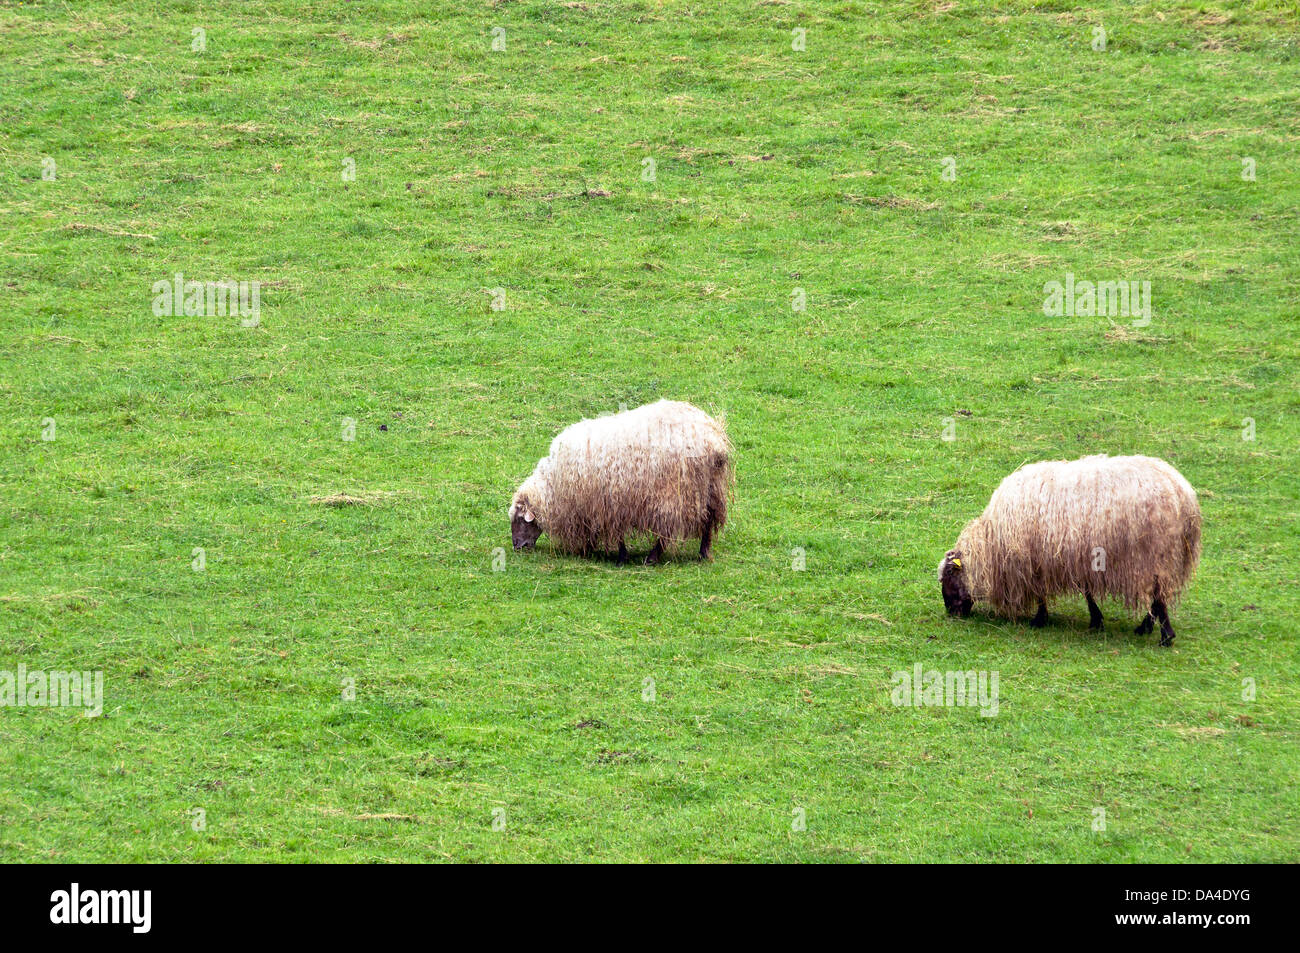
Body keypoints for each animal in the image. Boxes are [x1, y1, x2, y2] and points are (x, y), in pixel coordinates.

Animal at [509, 400, 732, 564]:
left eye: (520, 519)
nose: (517, 546)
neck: (553, 485)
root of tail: (713, 440)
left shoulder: (607, 505)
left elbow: (615, 535)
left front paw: (618, 556)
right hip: (710, 489)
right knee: (708, 522)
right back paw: (703, 553)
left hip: (674, 494)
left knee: (667, 530)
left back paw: (652, 558)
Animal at [938, 454, 1201, 645]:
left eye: (950, 574)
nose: (950, 611)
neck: (992, 543)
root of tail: (1184, 495)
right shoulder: (1075, 559)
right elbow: (1086, 591)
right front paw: (1095, 620)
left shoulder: (1038, 561)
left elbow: (1042, 594)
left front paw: (1039, 619)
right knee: (1156, 595)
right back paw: (1147, 627)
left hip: (1154, 555)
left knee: (1157, 595)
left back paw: (1165, 636)